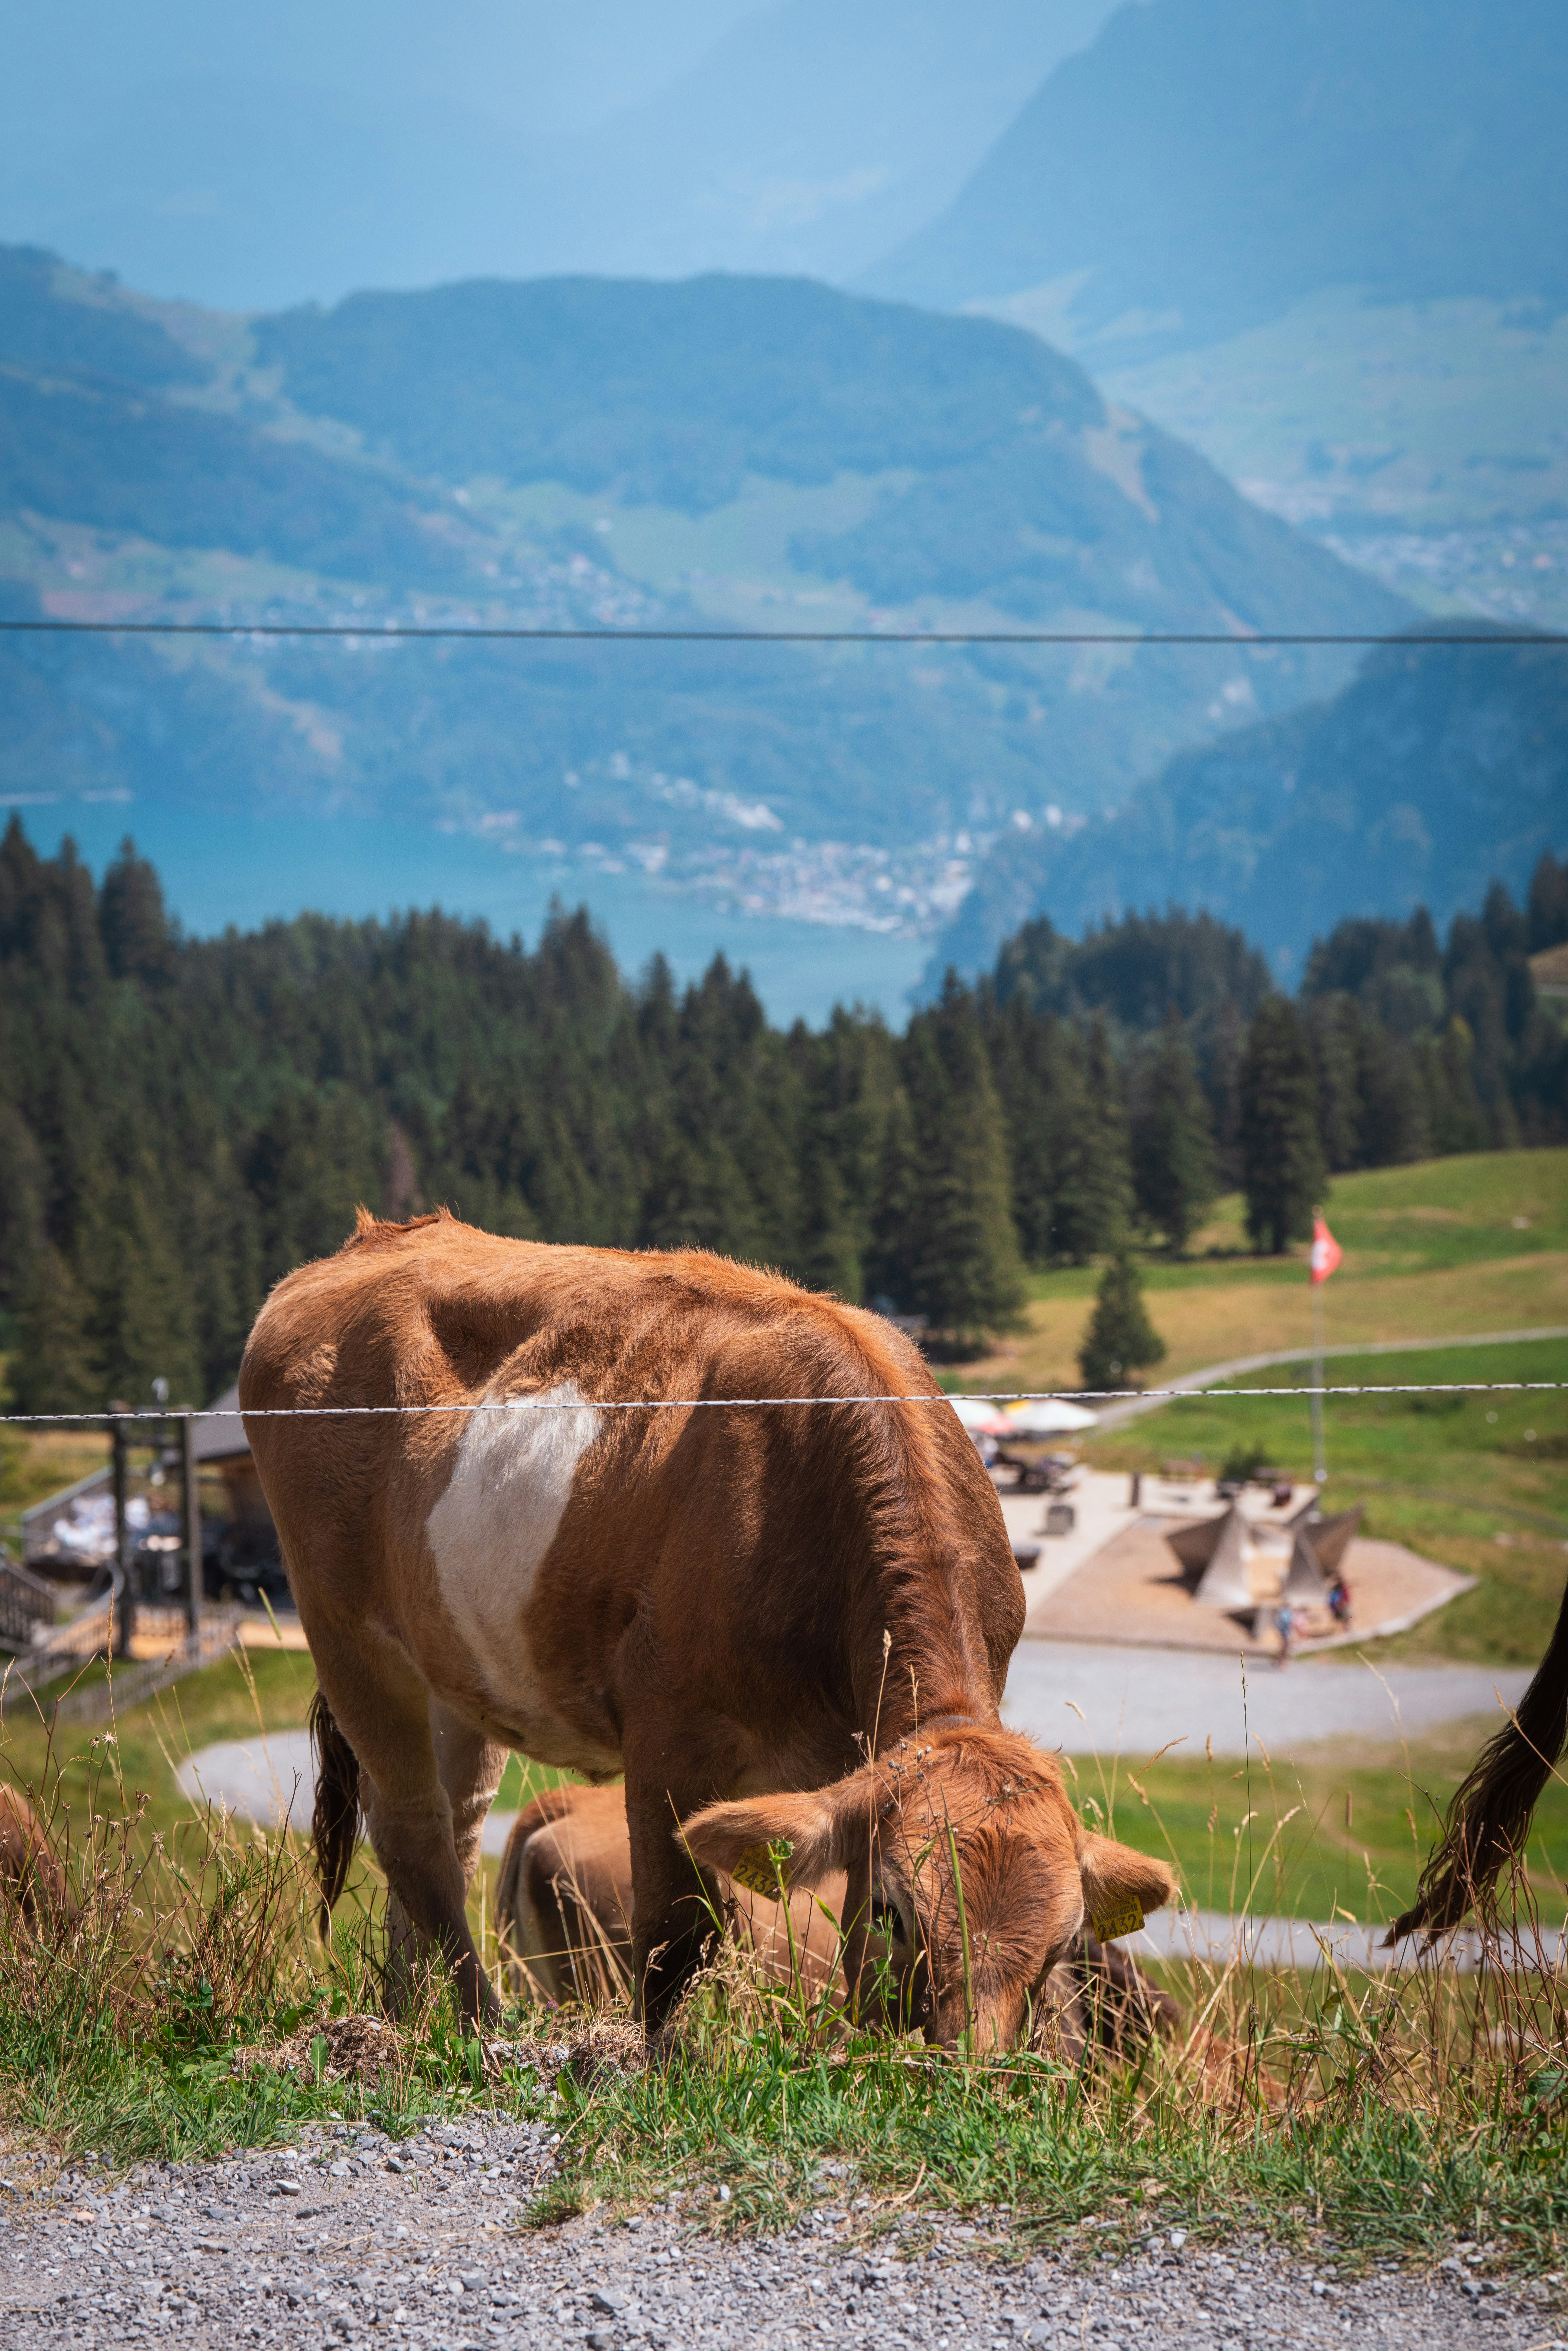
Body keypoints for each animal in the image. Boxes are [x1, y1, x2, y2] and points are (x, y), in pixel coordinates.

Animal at [239, 1210, 1174, 2046]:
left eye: (1058, 1948)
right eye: (896, 1914)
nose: (961, 2070)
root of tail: (372, 1241)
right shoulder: (668, 1734)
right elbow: (676, 1936)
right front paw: (660, 2067)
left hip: (457, 1658)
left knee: (457, 1825)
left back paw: (412, 2020)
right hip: (345, 1630)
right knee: (410, 1832)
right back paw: (478, 2031)